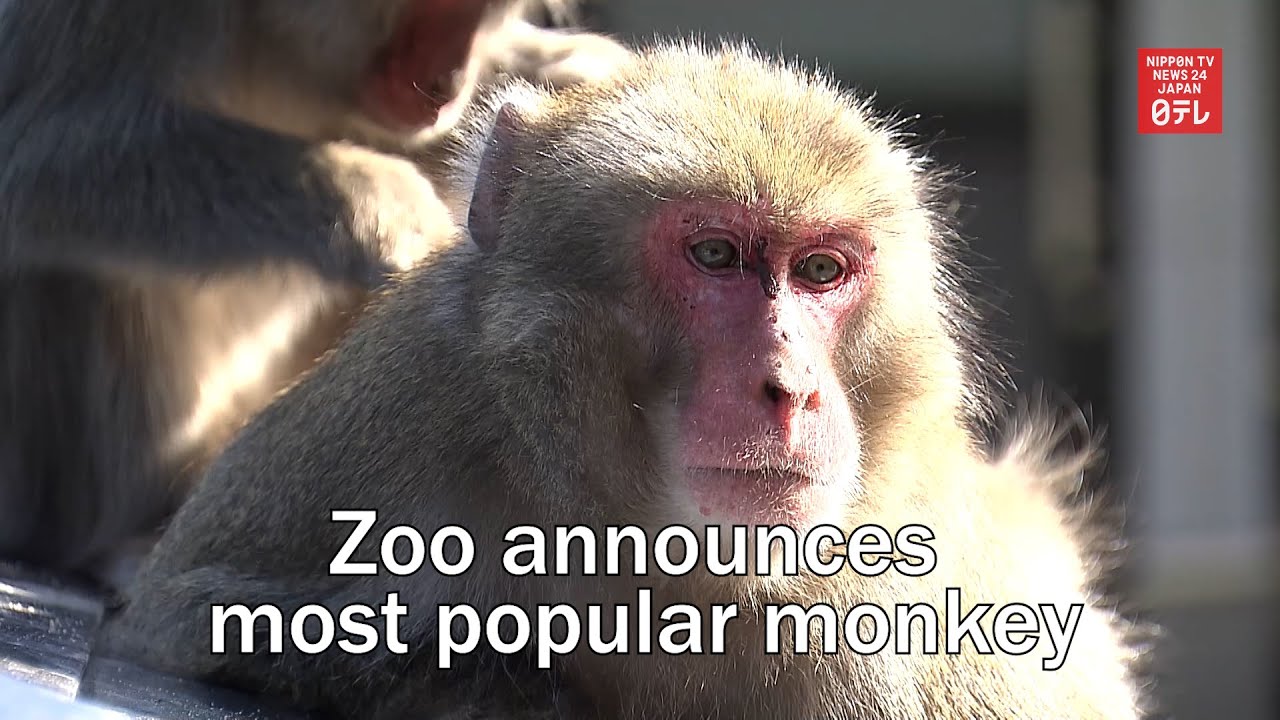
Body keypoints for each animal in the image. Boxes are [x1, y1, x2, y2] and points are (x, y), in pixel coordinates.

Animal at [102, 41, 1147, 720]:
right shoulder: (412, 394)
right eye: (717, 255)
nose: (791, 388)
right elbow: (178, 617)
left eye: (821, 271)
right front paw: (487, 671)